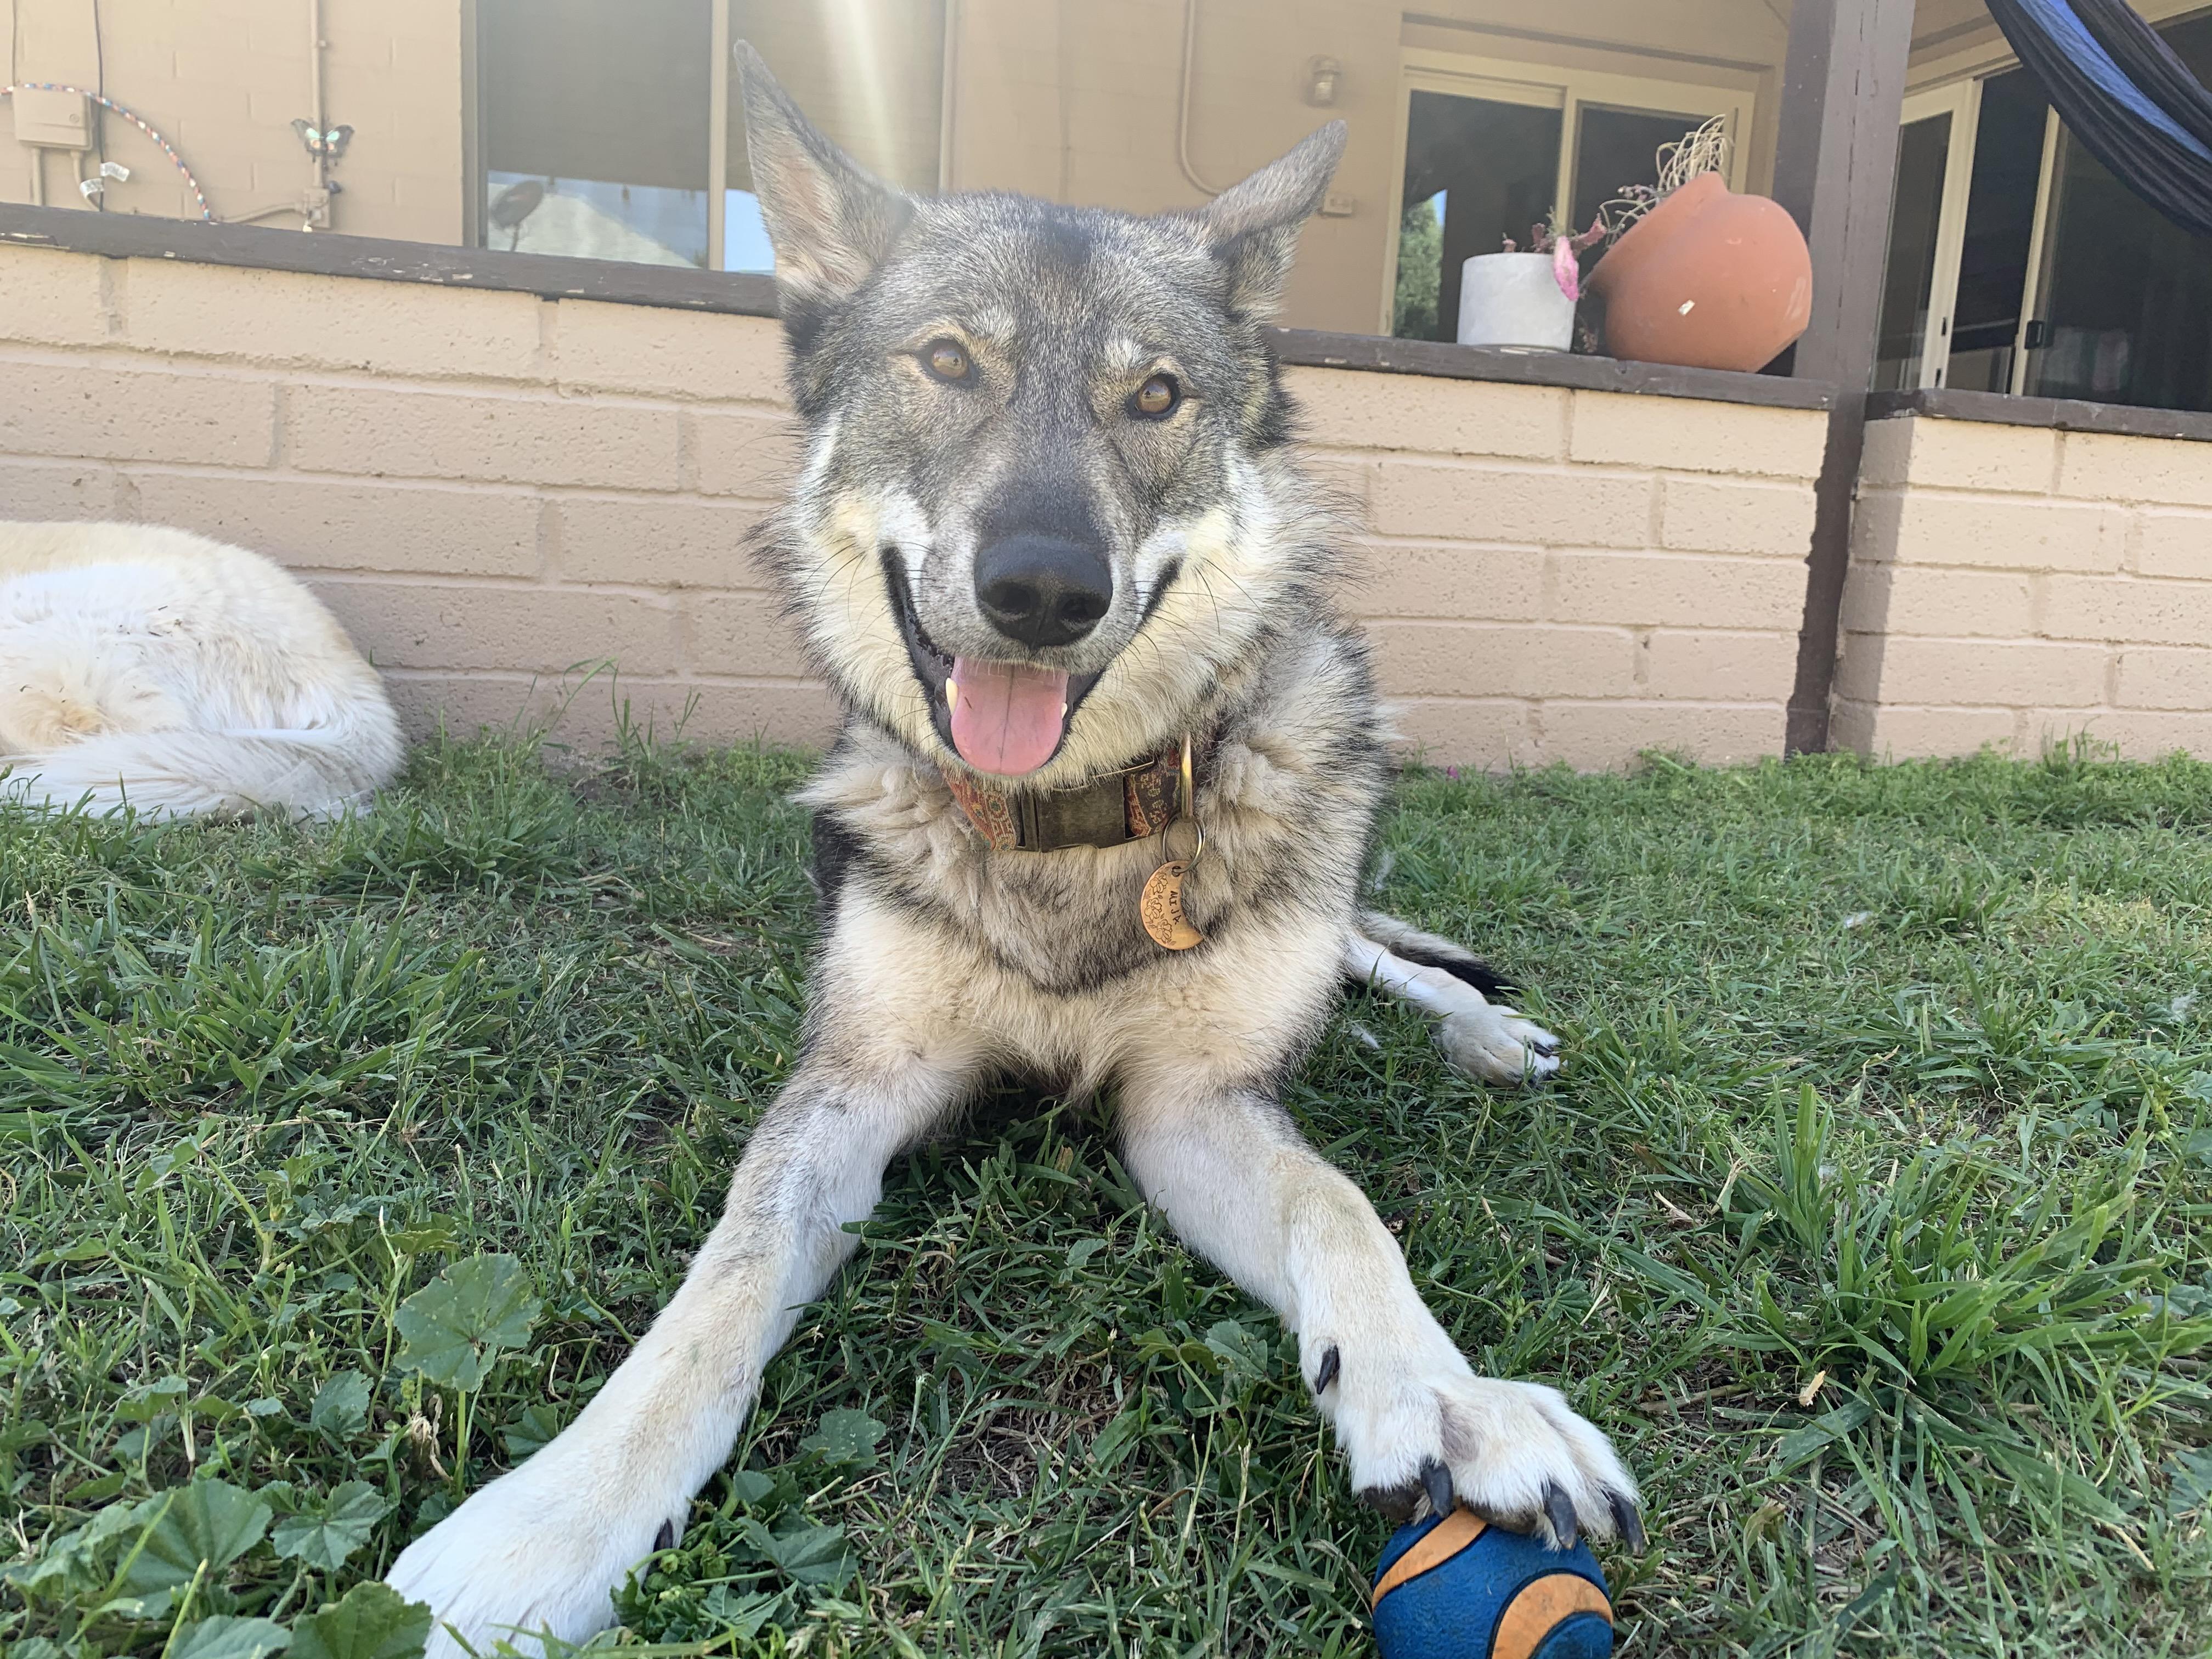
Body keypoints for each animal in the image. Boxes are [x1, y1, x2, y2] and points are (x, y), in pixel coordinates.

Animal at [387, 46, 1641, 1654]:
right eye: (945, 364)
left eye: (1155, 395)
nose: (1043, 588)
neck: (1060, 829)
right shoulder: (854, 1088)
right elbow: (721, 1281)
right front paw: (551, 1522)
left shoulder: (1190, 1104)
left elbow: (1342, 1206)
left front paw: (1451, 1397)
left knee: (1378, 955)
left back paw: (1482, 1034)